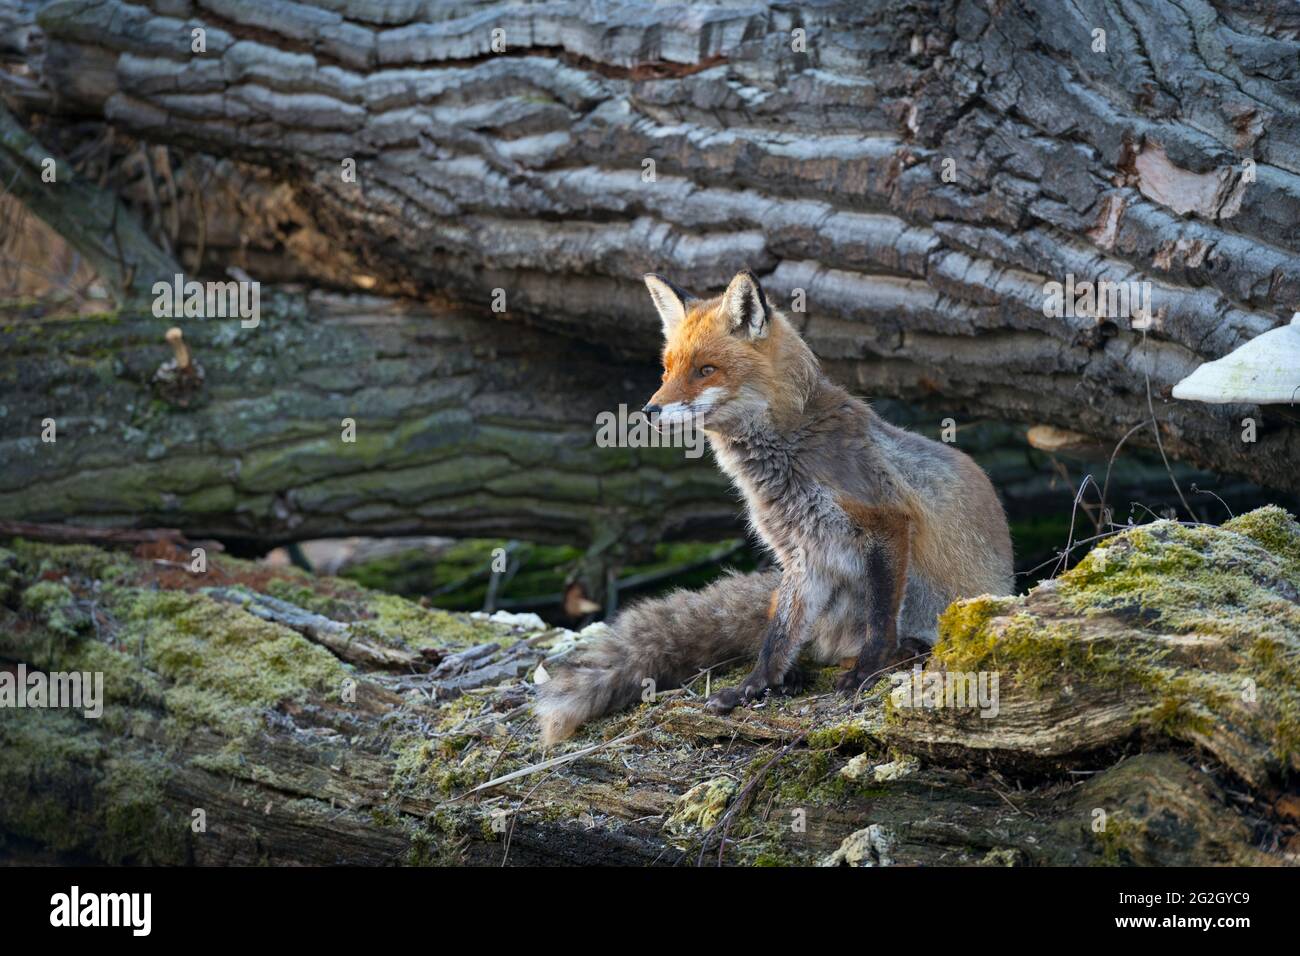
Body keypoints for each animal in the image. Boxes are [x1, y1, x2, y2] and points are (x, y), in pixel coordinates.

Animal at [535, 270, 1014, 746]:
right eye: (667, 370)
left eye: (705, 370)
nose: (649, 411)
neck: (786, 457)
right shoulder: (803, 553)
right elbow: (779, 635)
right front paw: (756, 685)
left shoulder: (885, 522)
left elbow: (880, 620)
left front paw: (868, 669)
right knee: (807, 638)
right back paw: (797, 676)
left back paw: (902, 652)